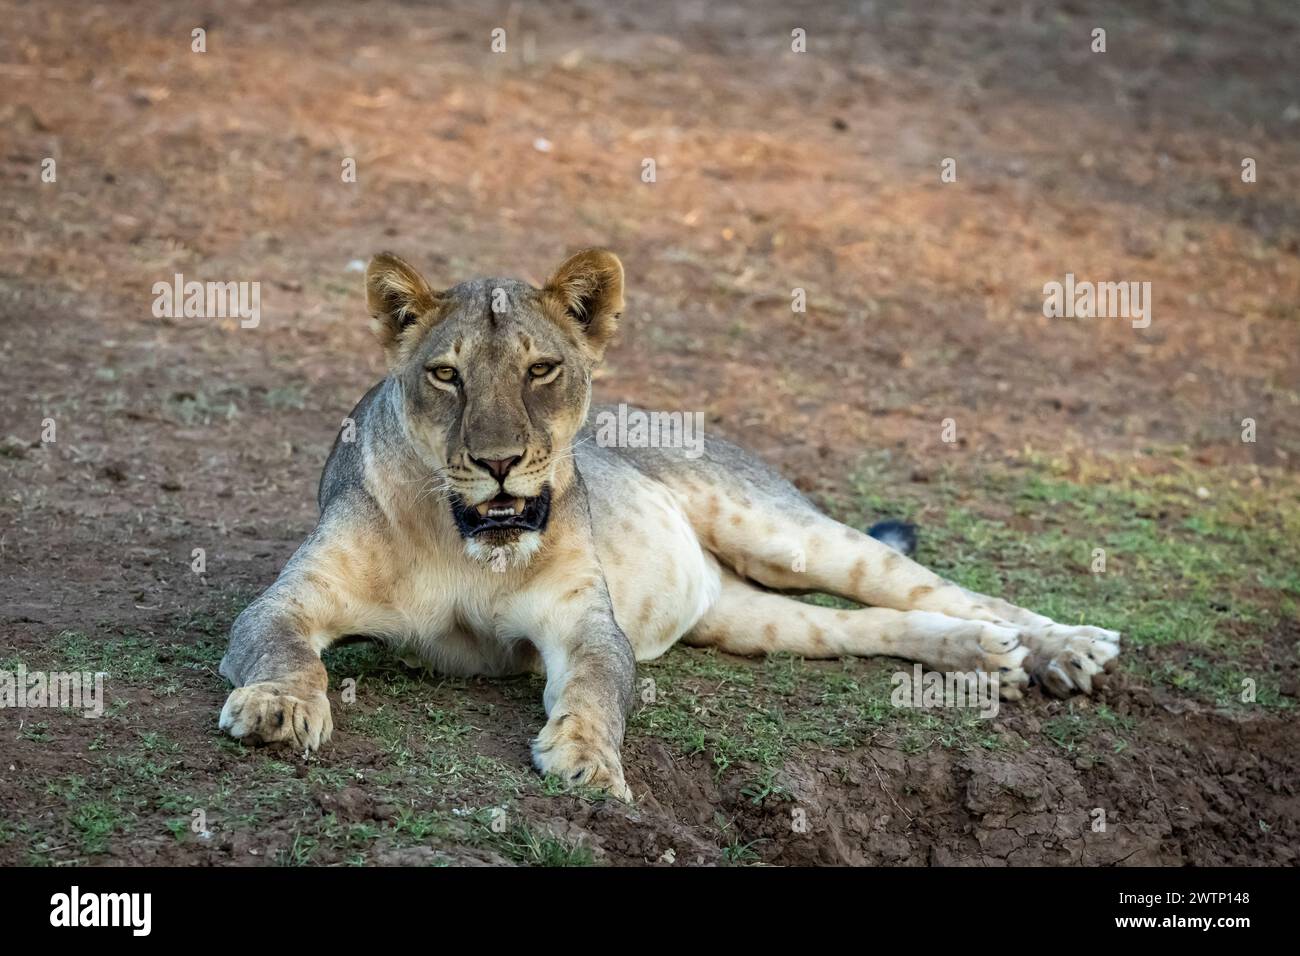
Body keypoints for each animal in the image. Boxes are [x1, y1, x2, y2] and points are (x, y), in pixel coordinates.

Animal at [219, 249, 1120, 799]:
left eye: (541, 369)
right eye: (446, 375)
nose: (500, 461)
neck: (470, 542)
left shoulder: (586, 623)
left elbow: (596, 688)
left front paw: (587, 760)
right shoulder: (285, 601)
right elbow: (286, 649)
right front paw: (277, 708)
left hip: (786, 535)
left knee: (949, 591)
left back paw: (1064, 648)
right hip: (754, 619)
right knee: (875, 624)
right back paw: (985, 657)